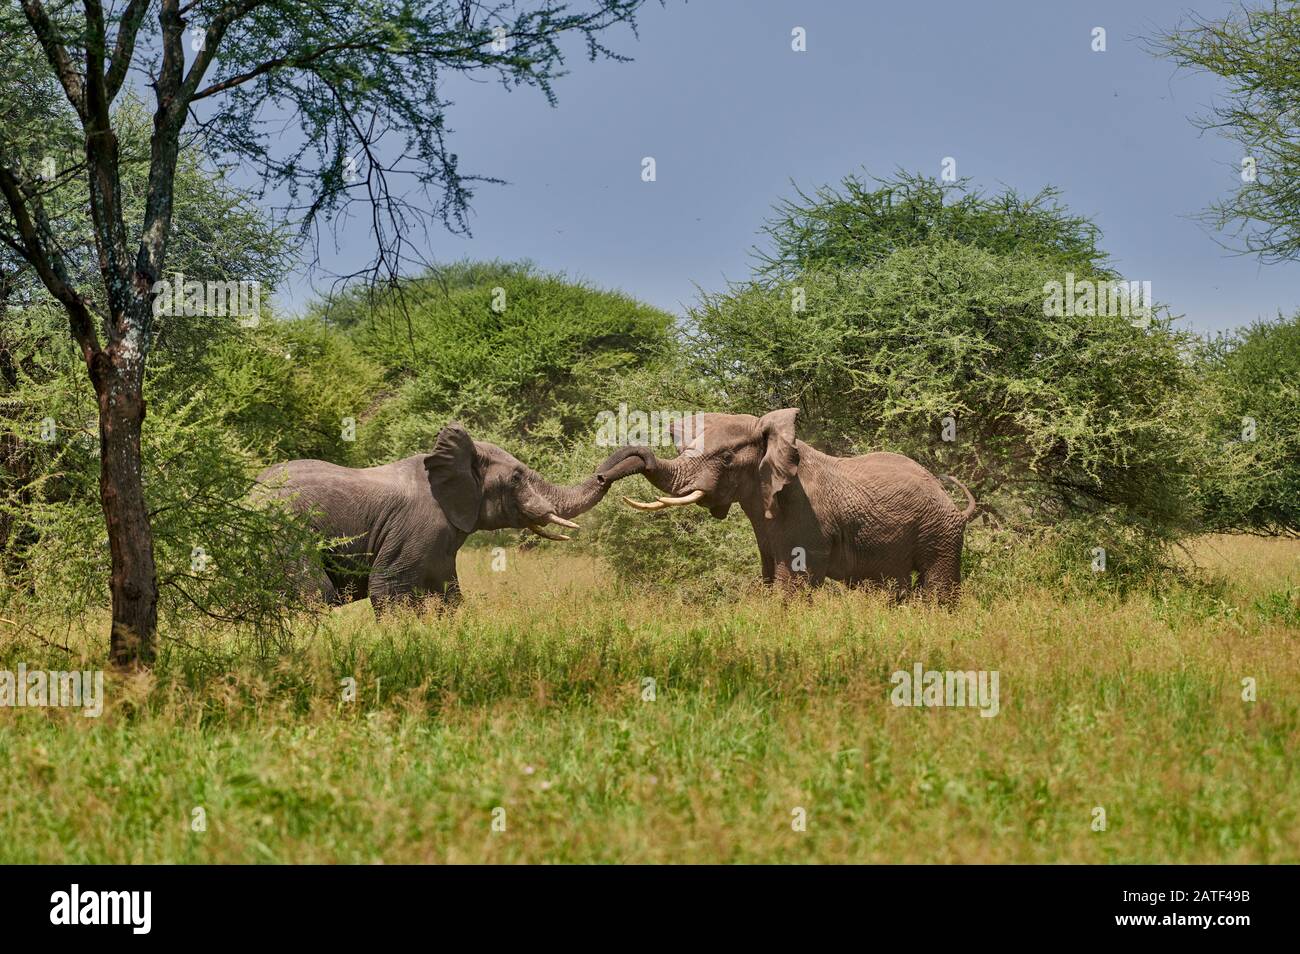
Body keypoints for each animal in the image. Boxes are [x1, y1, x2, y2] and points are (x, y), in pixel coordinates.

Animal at [256, 423, 645, 611]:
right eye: (516, 478)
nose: (604, 476)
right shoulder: (416, 528)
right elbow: (388, 589)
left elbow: (450, 595)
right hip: (285, 534)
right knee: (316, 594)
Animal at [615, 409, 977, 603]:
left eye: (727, 458)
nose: (605, 474)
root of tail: (952, 501)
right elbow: (769, 573)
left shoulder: (805, 517)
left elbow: (793, 580)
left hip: (939, 531)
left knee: (938, 587)